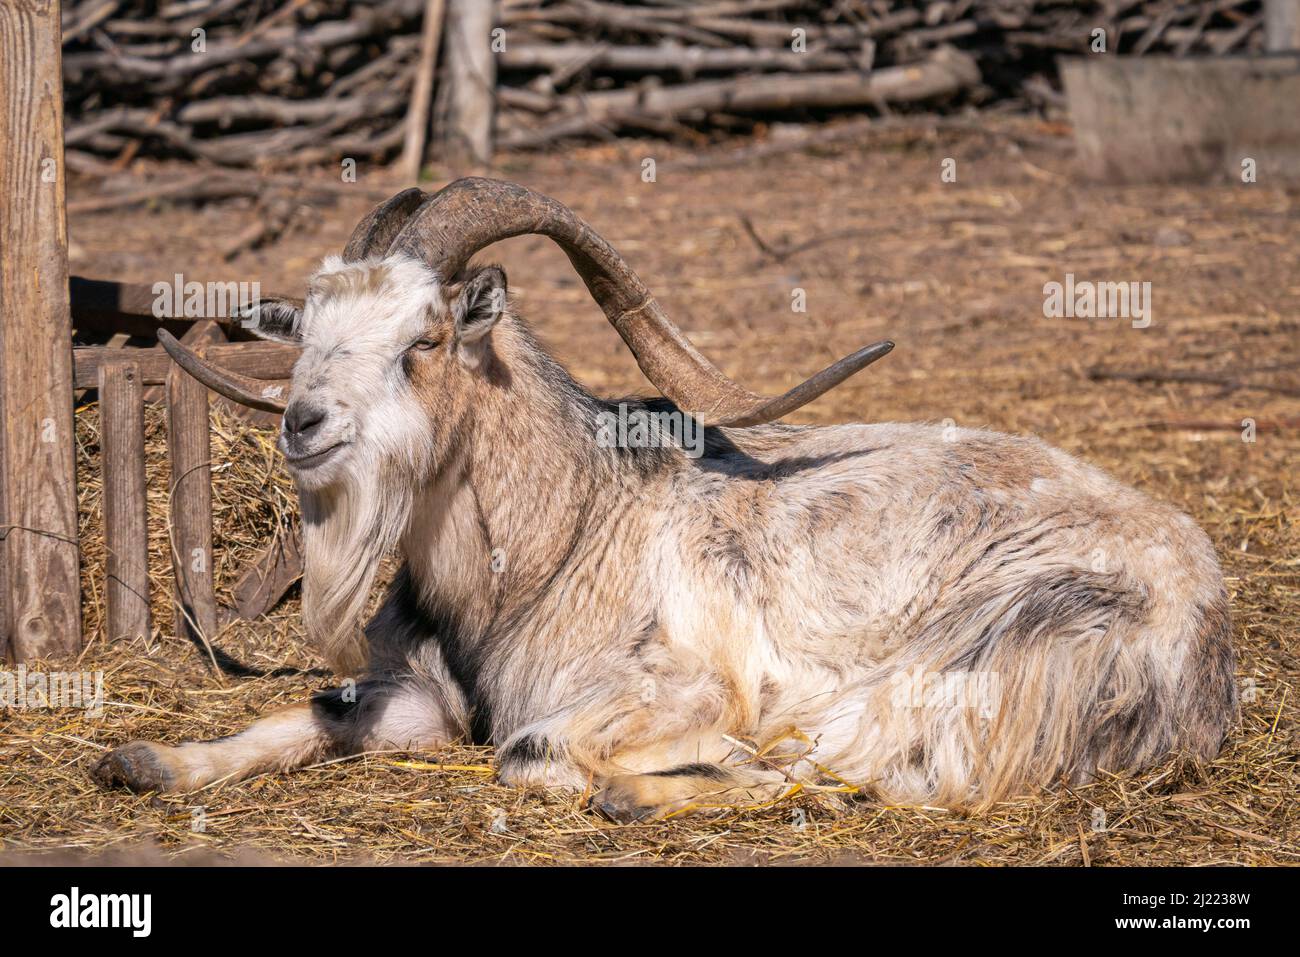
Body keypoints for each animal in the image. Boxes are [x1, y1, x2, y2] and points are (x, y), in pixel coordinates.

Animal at [92, 178, 1237, 820]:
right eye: (312, 332)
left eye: (425, 337)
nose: (304, 422)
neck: (568, 530)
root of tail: (1209, 620)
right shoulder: (430, 694)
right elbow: (303, 716)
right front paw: (144, 762)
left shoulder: (674, 686)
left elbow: (530, 751)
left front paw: (681, 769)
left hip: (962, 662)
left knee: (852, 768)